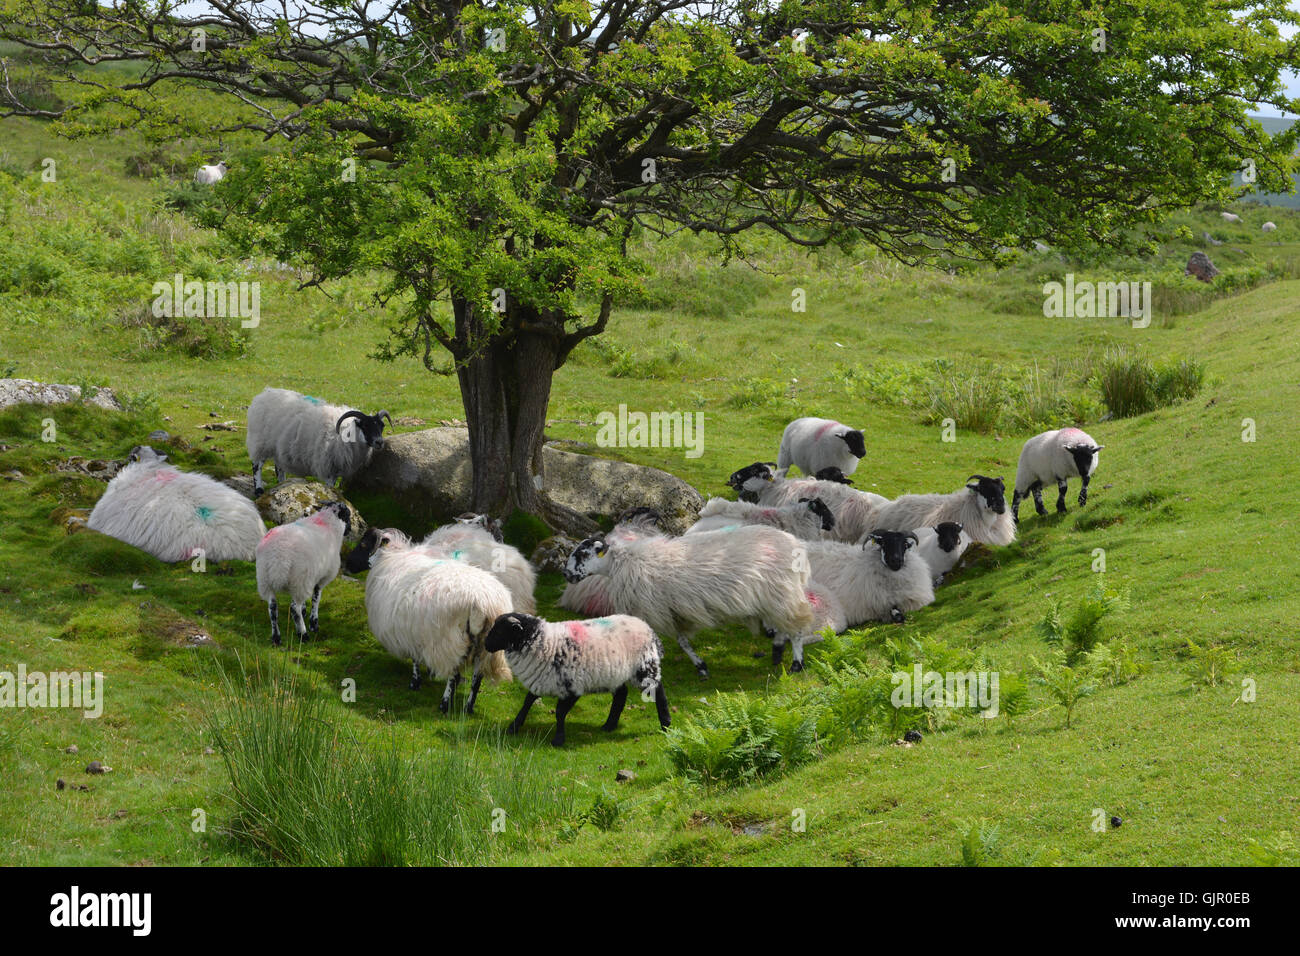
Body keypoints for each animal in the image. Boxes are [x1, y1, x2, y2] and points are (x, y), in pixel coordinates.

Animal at [246, 387, 392, 495]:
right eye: (366, 426)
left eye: (382, 426)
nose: (379, 442)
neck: (346, 433)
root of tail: (263, 394)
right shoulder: (328, 466)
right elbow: (330, 487)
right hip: (260, 442)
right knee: (256, 465)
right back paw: (258, 490)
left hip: (279, 446)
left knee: (279, 467)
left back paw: (281, 483)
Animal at [256, 502, 351, 646]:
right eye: (348, 515)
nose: (349, 530)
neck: (328, 524)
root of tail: (278, 555)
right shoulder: (321, 578)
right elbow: (316, 599)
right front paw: (313, 624)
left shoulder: (311, 577)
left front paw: (305, 611)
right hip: (300, 578)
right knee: (295, 608)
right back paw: (303, 634)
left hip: (265, 580)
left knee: (272, 608)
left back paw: (276, 638)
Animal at [360, 529, 512, 713]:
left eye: (366, 544)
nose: (367, 561)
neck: (391, 556)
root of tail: (485, 603)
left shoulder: (414, 632)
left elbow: (415, 660)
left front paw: (415, 683)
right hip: (486, 646)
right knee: (477, 679)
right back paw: (468, 708)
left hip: (450, 641)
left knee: (454, 675)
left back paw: (444, 704)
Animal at [485, 612, 671, 747]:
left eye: (500, 630)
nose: (486, 644)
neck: (546, 643)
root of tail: (650, 630)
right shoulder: (541, 680)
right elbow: (527, 702)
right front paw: (514, 726)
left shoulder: (572, 687)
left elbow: (559, 712)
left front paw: (558, 740)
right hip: (615, 674)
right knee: (621, 695)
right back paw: (608, 726)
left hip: (646, 667)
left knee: (659, 693)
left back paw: (666, 725)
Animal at [563, 524, 815, 679]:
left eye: (583, 553)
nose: (566, 574)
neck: (621, 563)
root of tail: (797, 545)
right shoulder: (673, 612)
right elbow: (681, 641)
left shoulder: (658, 610)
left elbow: (681, 642)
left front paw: (701, 667)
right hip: (775, 598)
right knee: (784, 626)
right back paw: (778, 651)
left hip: (782, 593)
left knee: (796, 629)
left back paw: (796, 663)